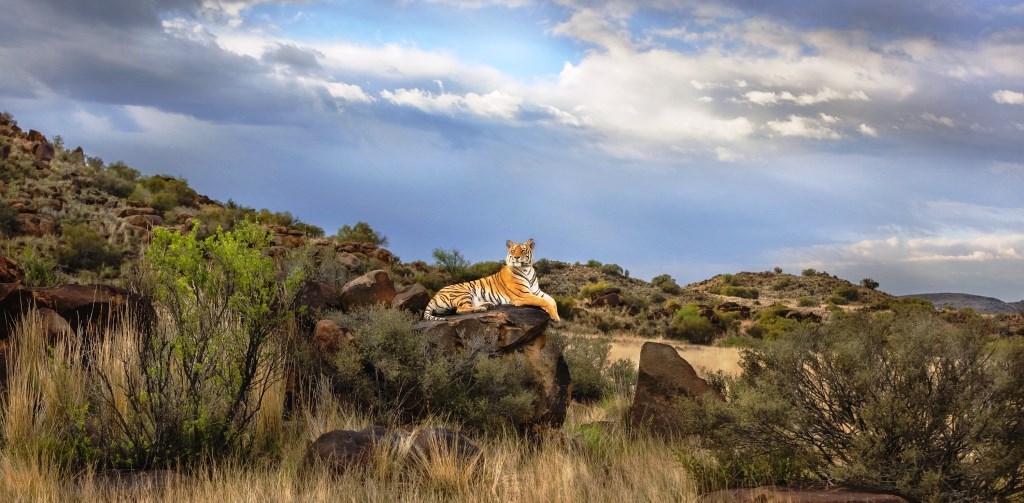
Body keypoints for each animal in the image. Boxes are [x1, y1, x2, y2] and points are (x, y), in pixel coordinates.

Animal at [423, 238, 560, 322]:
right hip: (463, 292)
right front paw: (555, 317)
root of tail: (434, 296)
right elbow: (543, 301)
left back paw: (487, 305)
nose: (516, 257)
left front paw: (555, 314)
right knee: (460, 309)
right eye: (513, 250)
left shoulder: (536, 291)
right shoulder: (523, 295)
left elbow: (552, 300)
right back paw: (481, 309)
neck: (527, 269)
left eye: (523, 250)